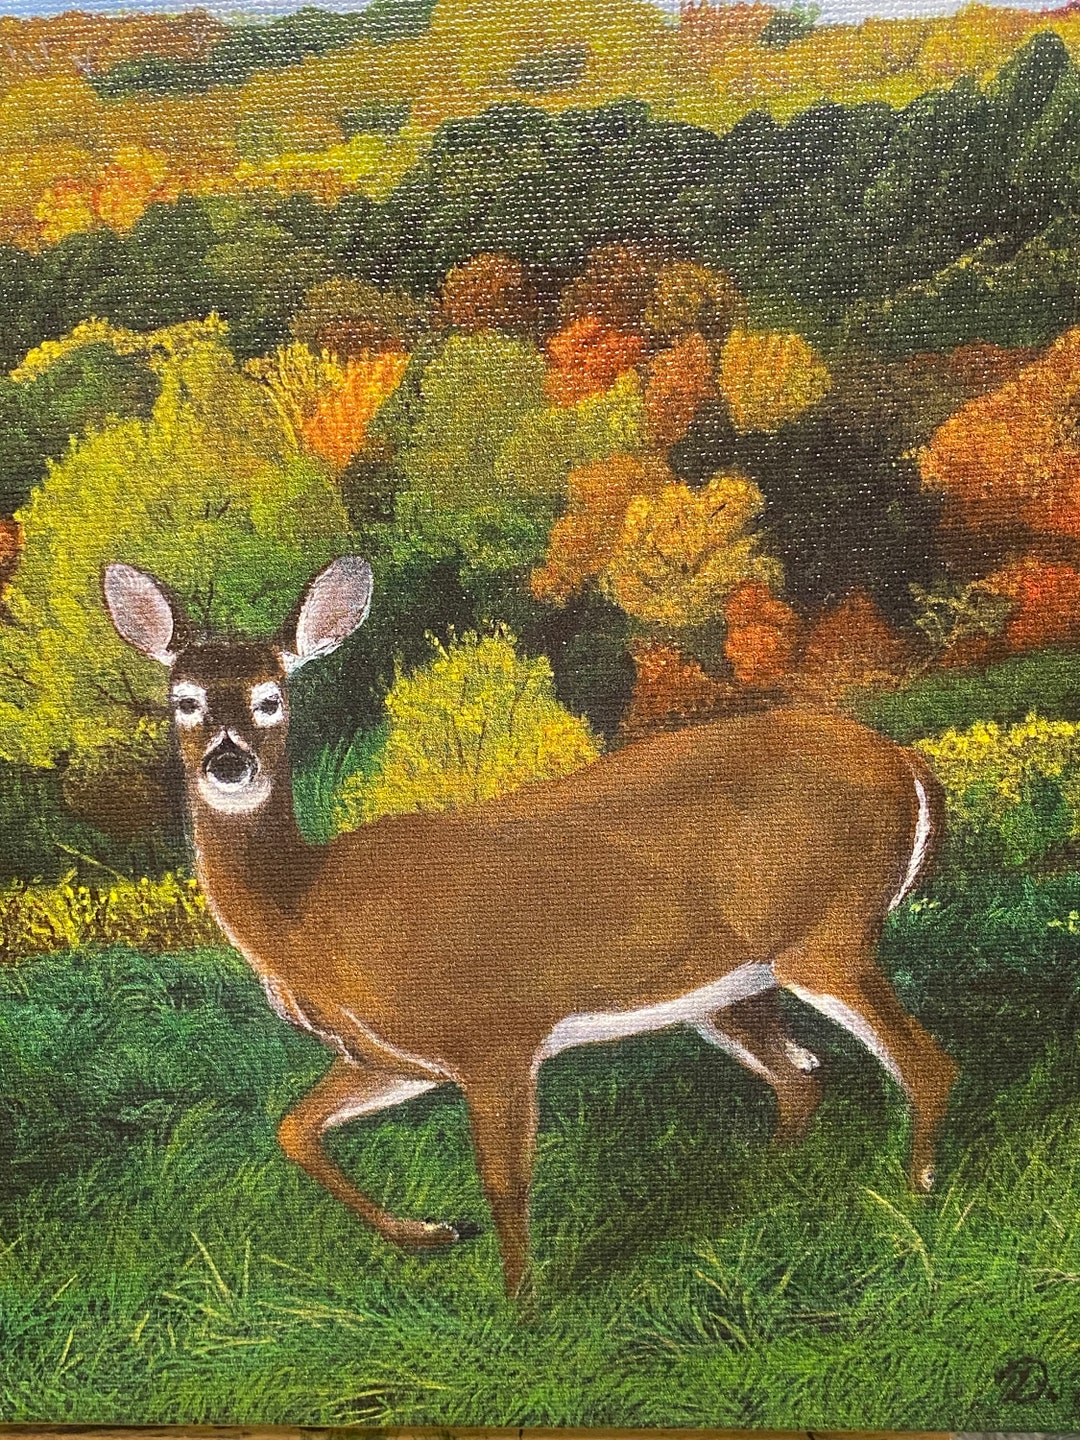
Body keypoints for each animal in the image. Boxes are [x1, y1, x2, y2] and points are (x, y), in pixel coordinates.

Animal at [102, 554, 959, 1300]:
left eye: (271, 697)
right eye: (184, 699)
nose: (228, 763)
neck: (310, 912)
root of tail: (910, 768)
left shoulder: (493, 1035)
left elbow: (505, 1181)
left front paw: (521, 1307)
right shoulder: (392, 1056)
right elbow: (293, 1131)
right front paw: (432, 1234)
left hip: (827, 930)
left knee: (926, 1064)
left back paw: (919, 1192)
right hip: (728, 986)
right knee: (803, 1077)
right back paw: (766, 1180)